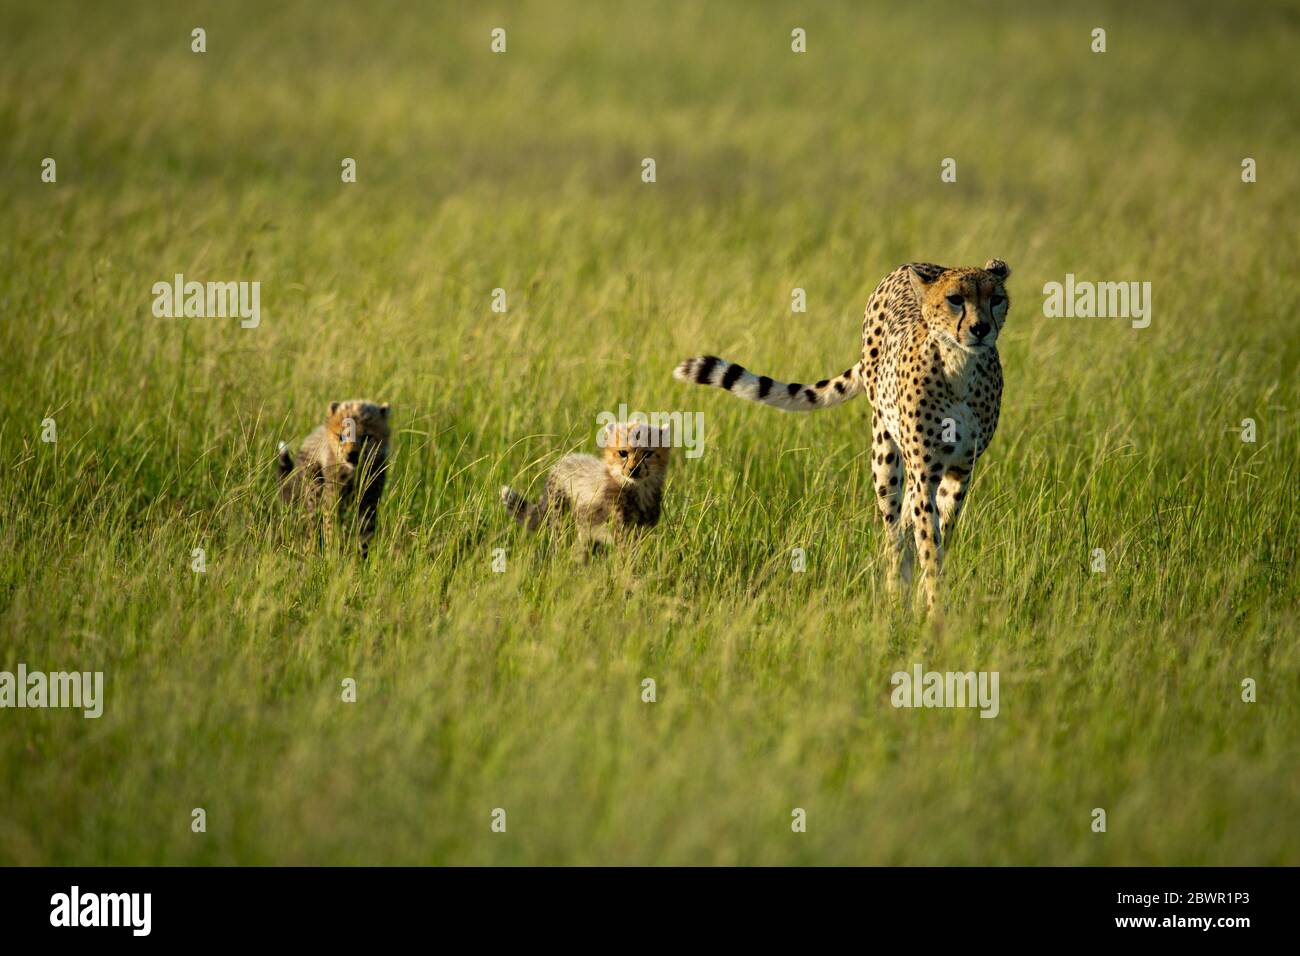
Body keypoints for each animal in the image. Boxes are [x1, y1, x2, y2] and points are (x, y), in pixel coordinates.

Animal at [673, 259, 1011, 609]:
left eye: (996, 299)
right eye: (955, 299)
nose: (980, 329)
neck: (960, 367)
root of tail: (909, 265)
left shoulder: (961, 469)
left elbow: (940, 530)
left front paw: (929, 599)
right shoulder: (924, 469)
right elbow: (929, 540)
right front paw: (934, 607)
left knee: (905, 519)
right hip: (884, 450)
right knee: (893, 526)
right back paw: (895, 592)